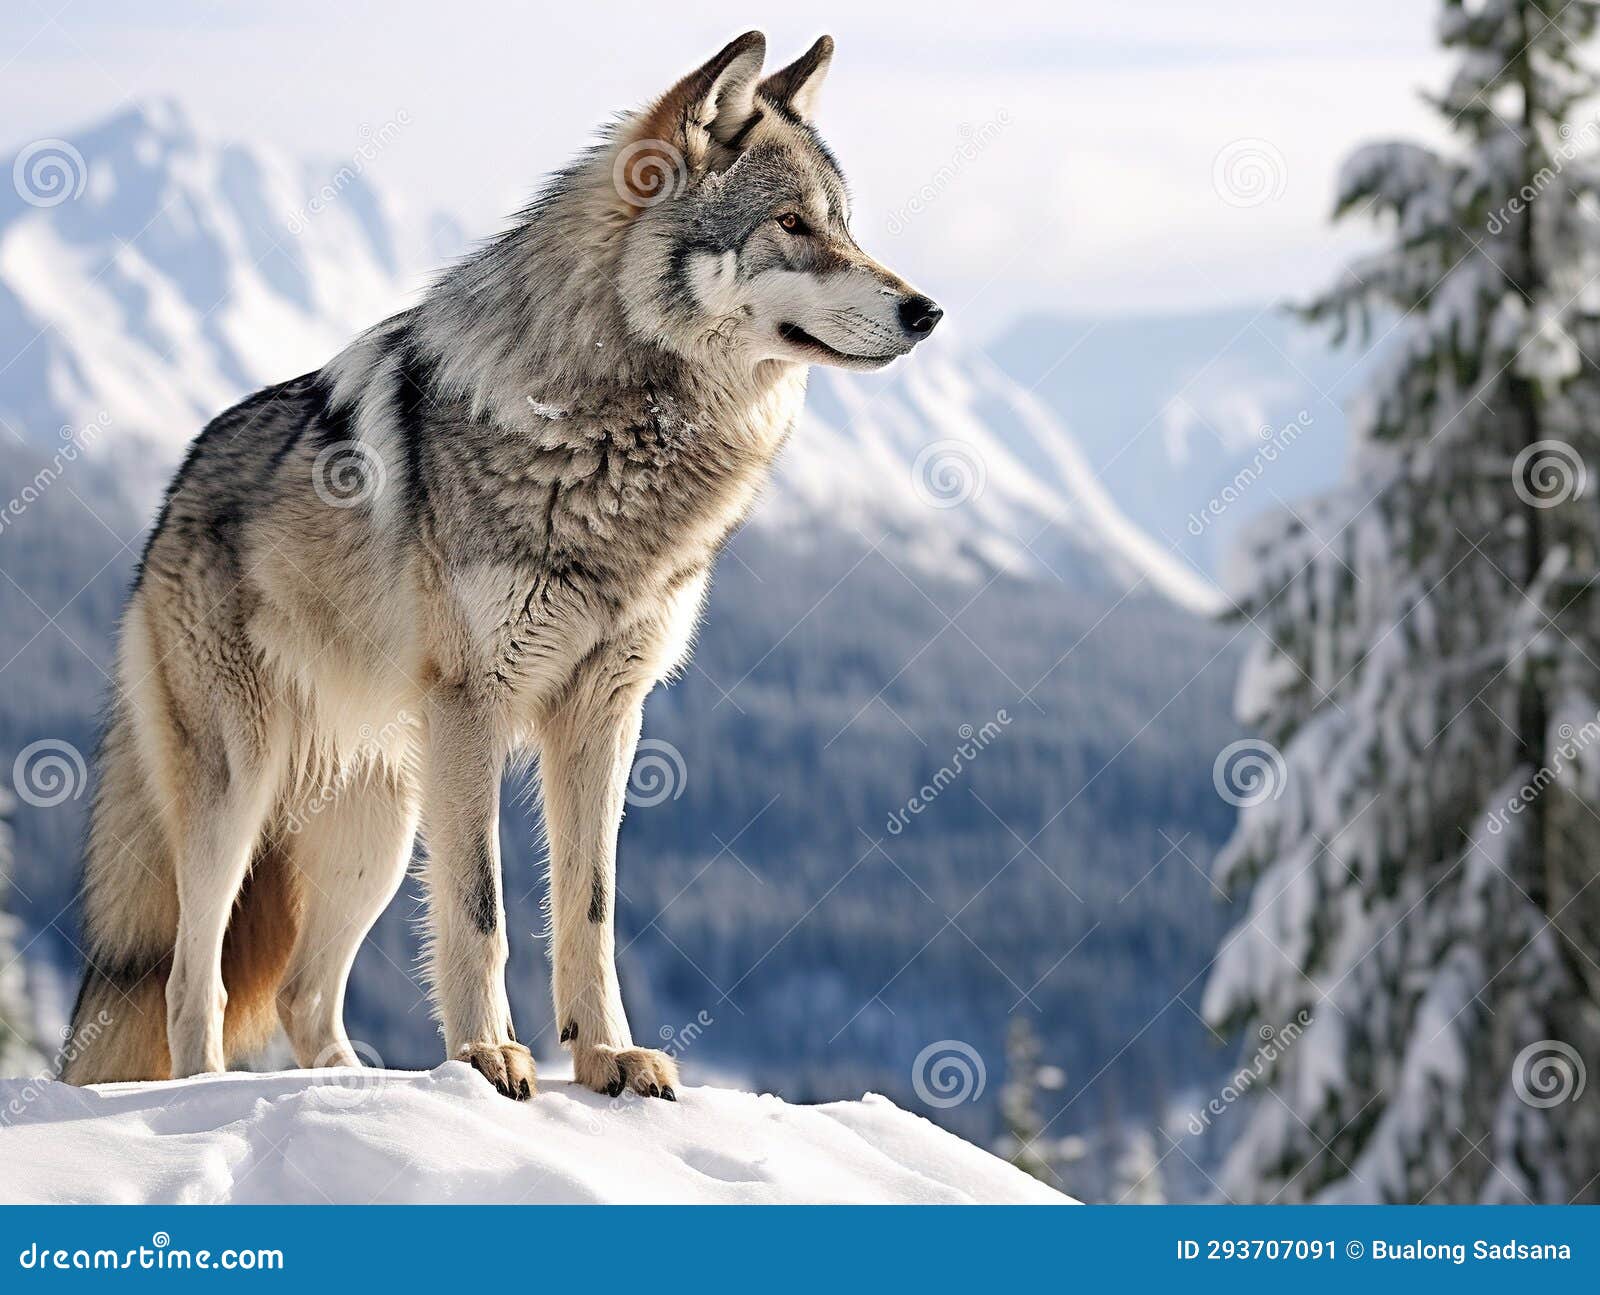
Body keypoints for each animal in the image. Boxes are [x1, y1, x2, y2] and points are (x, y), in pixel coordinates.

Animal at [60, 31, 941, 1101]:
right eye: (792, 223)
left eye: (845, 226)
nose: (928, 310)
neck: (616, 432)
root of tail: (172, 492)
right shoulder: (474, 704)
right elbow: (482, 907)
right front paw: (486, 1055)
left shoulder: (606, 714)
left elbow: (590, 908)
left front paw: (607, 1056)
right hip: (242, 790)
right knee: (197, 979)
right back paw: (206, 1089)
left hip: (382, 824)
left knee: (307, 992)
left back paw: (354, 1087)